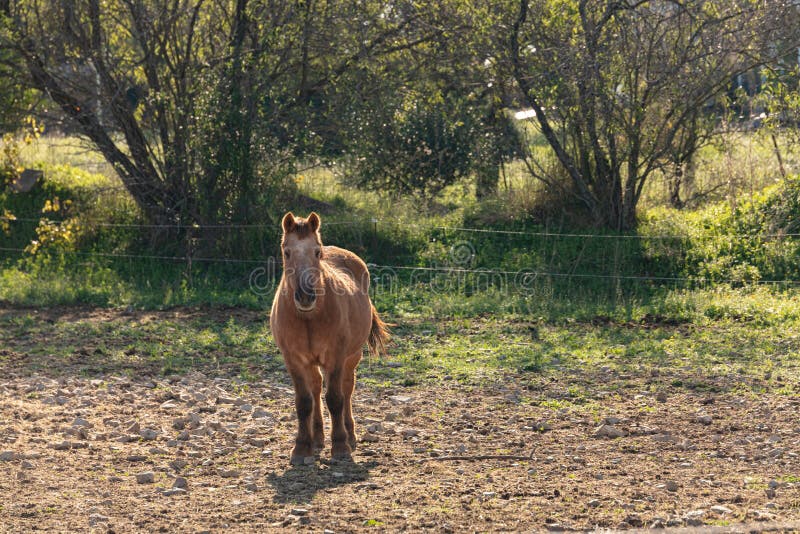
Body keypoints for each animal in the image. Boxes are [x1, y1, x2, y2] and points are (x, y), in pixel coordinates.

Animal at [270, 212, 389, 464]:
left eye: (317, 252)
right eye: (287, 252)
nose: (305, 296)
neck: (308, 317)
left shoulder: (335, 357)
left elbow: (335, 398)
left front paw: (341, 445)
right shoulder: (294, 360)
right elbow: (304, 402)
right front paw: (301, 447)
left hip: (351, 356)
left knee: (347, 388)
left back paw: (349, 434)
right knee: (315, 388)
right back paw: (316, 438)